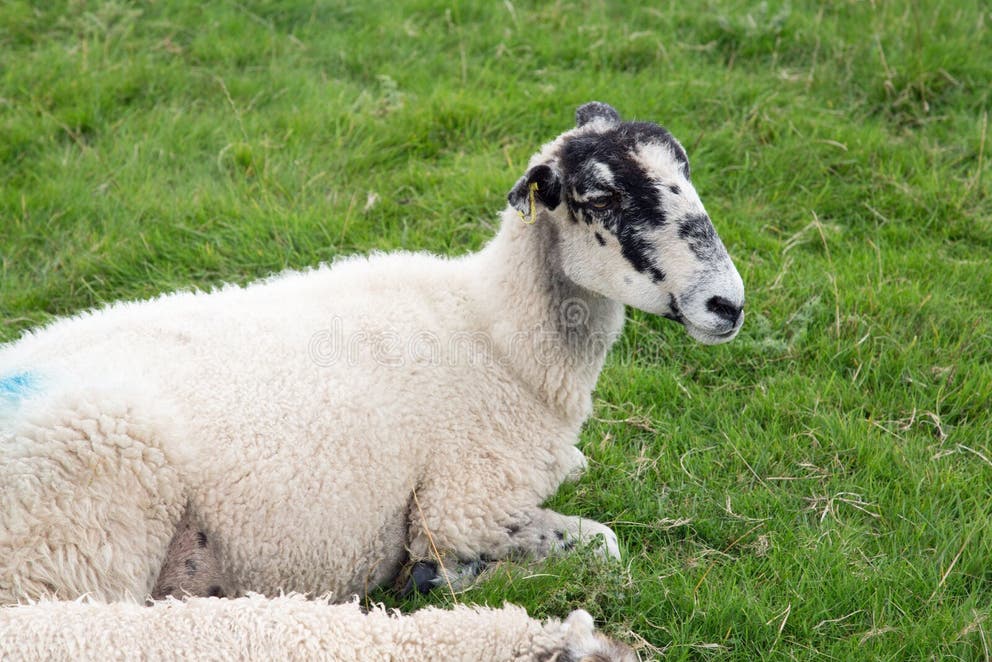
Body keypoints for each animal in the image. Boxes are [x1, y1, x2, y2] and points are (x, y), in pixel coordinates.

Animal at [0, 101, 744, 604]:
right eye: (600, 195)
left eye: (686, 170)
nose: (728, 305)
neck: (498, 337)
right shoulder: (462, 505)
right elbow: (603, 545)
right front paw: (438, 574)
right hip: (78, 537)